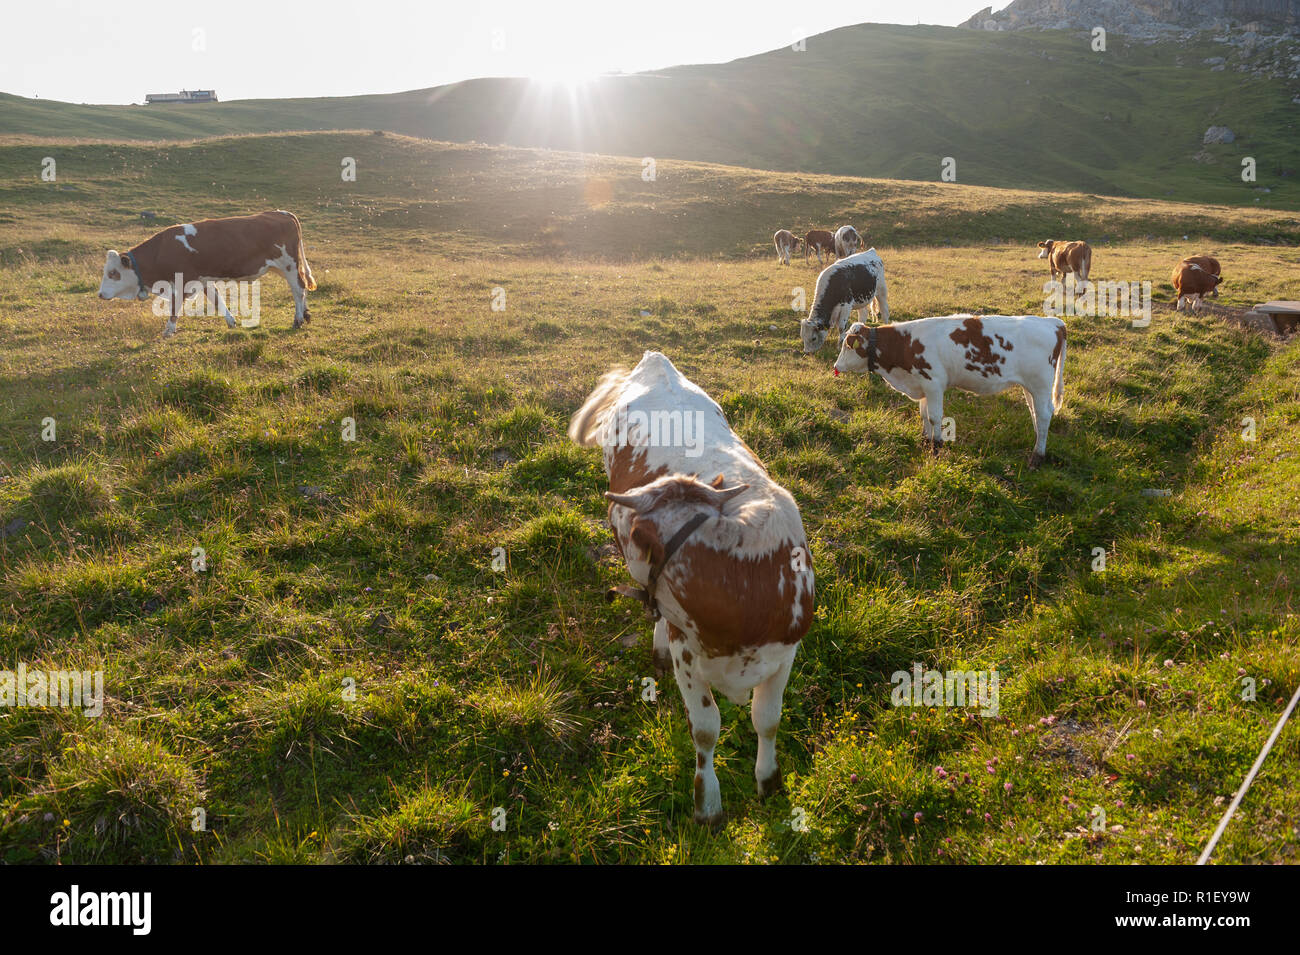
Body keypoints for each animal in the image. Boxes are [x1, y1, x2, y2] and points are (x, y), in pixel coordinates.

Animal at [98, 210, 316, 337]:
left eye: (113, 273)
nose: (100, 294)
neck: (162, 250)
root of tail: (282, 213)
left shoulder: (182, 281)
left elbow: (175, 305)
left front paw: (168, 330)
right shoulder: (201, 279)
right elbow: (216, 299)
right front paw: (231, 321)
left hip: (288, 263)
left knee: (298, 289)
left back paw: (297, 319)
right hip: (281, 266)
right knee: (302, 286)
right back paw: (305, 314)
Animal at [568, 351, 815, 827]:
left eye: (635, 534)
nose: (611, 512)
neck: (746, 583)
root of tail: (655, 361)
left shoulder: (786, 653)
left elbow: (767, 719)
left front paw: (769, 781)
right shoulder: (688, 650)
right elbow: (705, 729)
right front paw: (708, 803)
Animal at [831, 314, 1067, 468]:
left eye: (847, 345)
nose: (836, 365)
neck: (906, 344)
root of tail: (1052, 321)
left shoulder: (934, 383)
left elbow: (935, 417)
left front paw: (936, 447)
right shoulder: (923, 384)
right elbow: (923, 414)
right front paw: (925, 440)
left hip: (1040, 384)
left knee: (1044, 414)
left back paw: (1037, 456)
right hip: (1030, 387)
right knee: (1037, 413)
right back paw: (1038, 440)